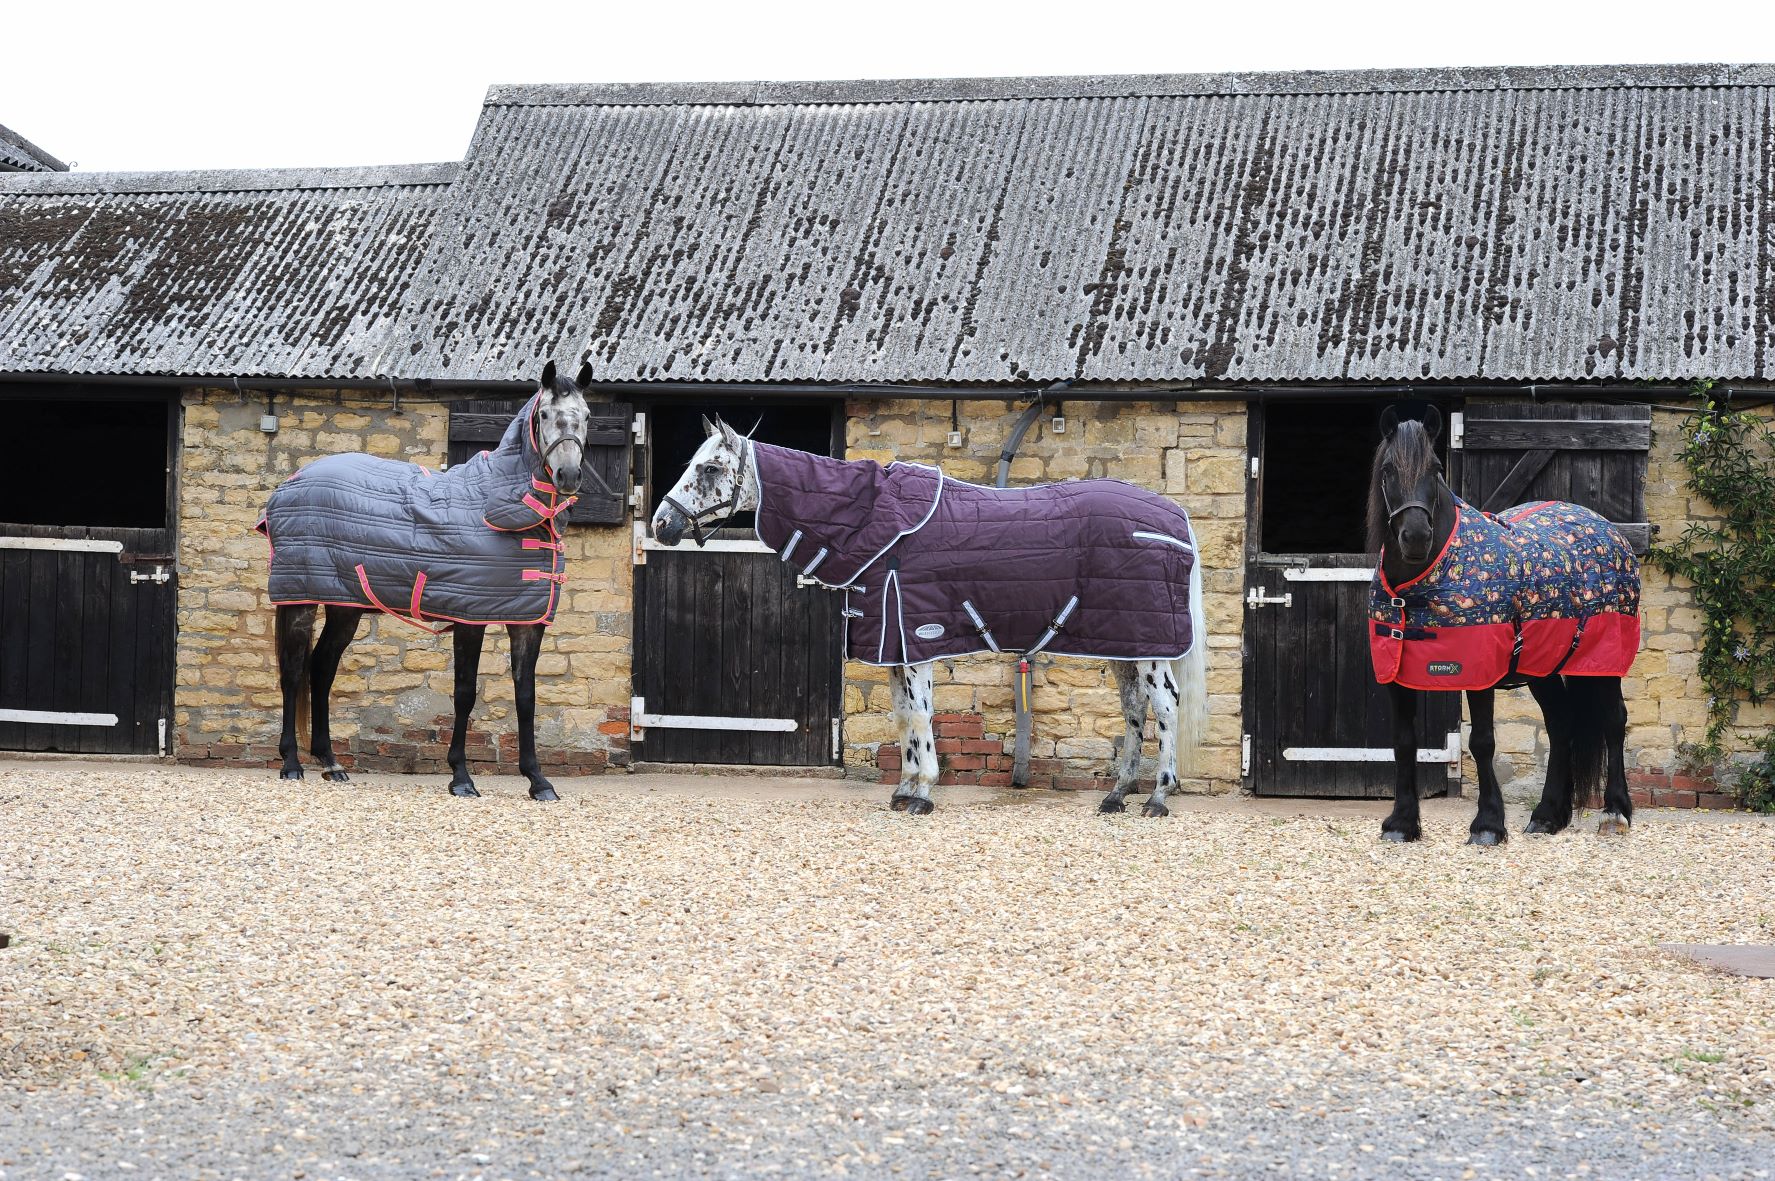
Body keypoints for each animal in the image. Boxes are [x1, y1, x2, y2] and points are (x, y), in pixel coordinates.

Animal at [257, 361, 593, 800]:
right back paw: (292, 764)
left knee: (322, 669)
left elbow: (526, 696)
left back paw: (331, 763)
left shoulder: (526, 621)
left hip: (345, 607)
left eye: (586, 415)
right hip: (300, 598)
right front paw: (461, 777)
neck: (498, 510)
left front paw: (538, 781)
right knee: (293, 672)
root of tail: (288, 485)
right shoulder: (470, 618)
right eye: (545, 415)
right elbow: (465, 693)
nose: (568, 475)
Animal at [651, 416, 1208, 816]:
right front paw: (902, 790)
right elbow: (902, 719)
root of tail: (1176, 518)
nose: (661, 524)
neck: (881, 530)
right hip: (1124, 644)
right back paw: (1115, 797)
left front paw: (923, 794)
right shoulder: (892, 647)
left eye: (709, 469)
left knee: (1165, 707)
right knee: (1134, 710)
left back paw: (1157, 798)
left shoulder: (915, 638)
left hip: (1152, 648)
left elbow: (920, 716)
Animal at [1367, 406, 1640, 844]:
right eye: (1389, 469)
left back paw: (1615, 812)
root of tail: (1607, 529)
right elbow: (1403, 742)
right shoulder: (1395, 674)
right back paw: (1546, 816)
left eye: (1436, 467)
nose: (1416, 537)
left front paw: (1488, 824)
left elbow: (1482, 742)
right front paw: (1401, 823)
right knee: (1561, 726)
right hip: (1543, 668)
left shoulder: (1479, 672)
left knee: (1614, 720)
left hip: (1602, 661)